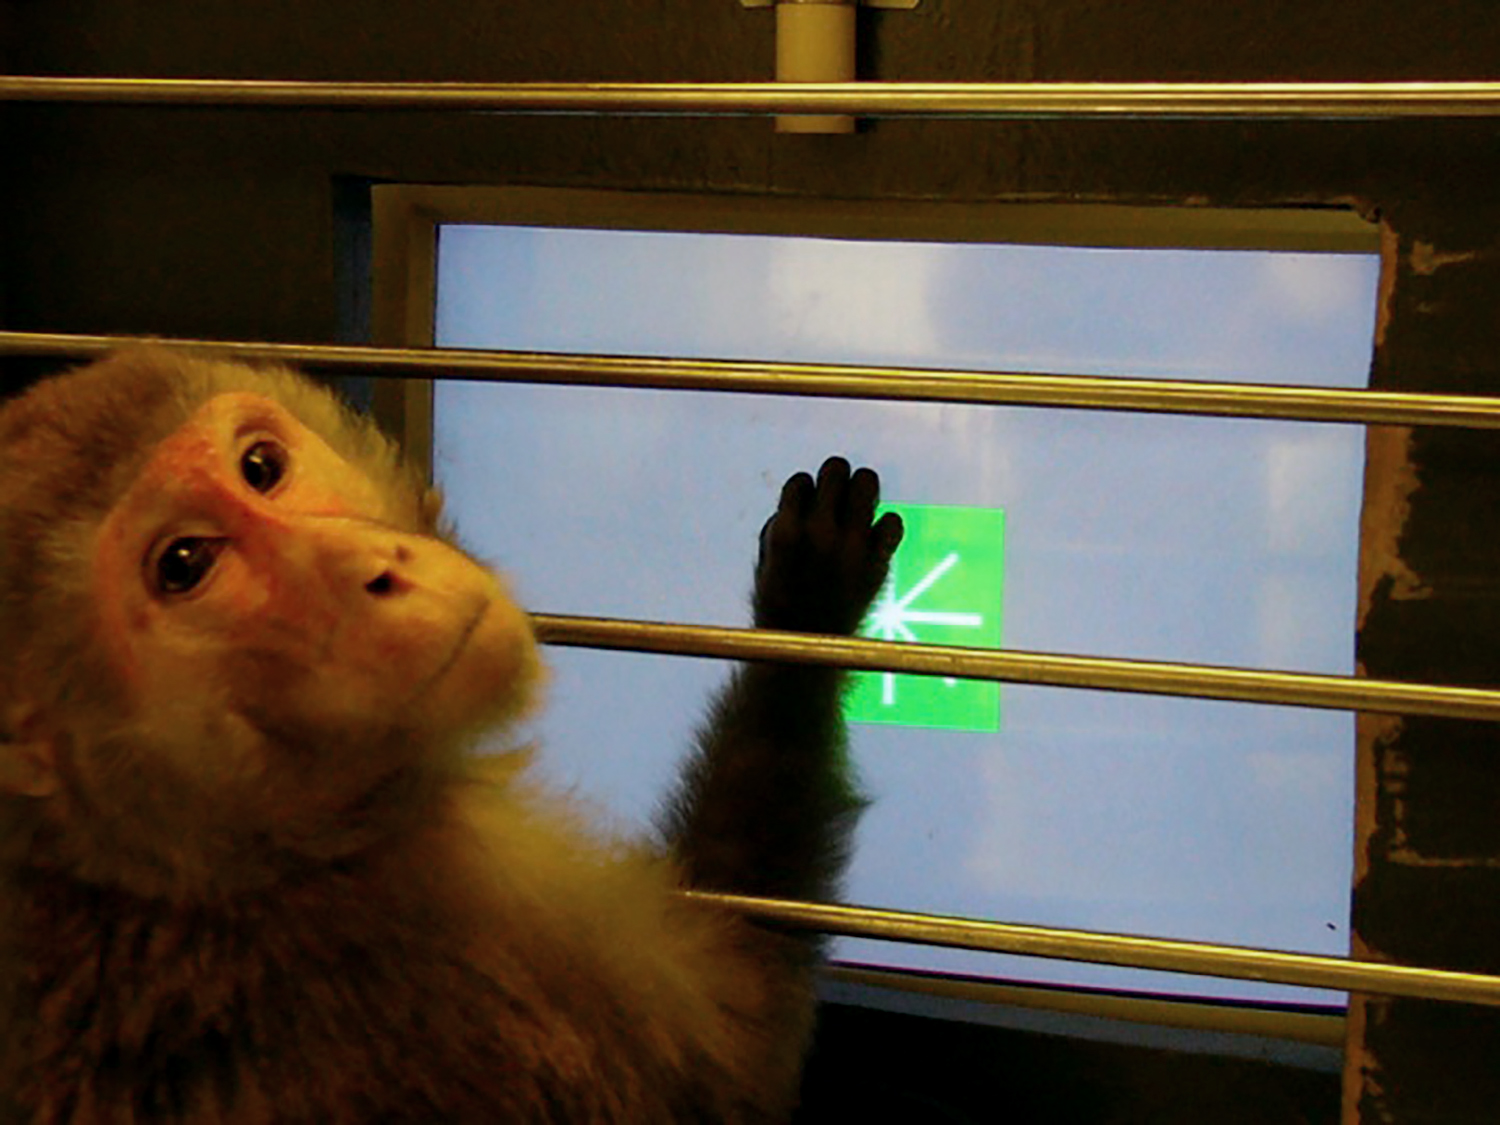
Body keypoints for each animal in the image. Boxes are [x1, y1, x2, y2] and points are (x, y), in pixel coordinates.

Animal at [0, 346, 903, 1123]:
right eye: (184, 564)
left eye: (260, 467)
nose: (375, 572)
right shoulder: (476, 931)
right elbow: (743, 1049)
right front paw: (807, 614)